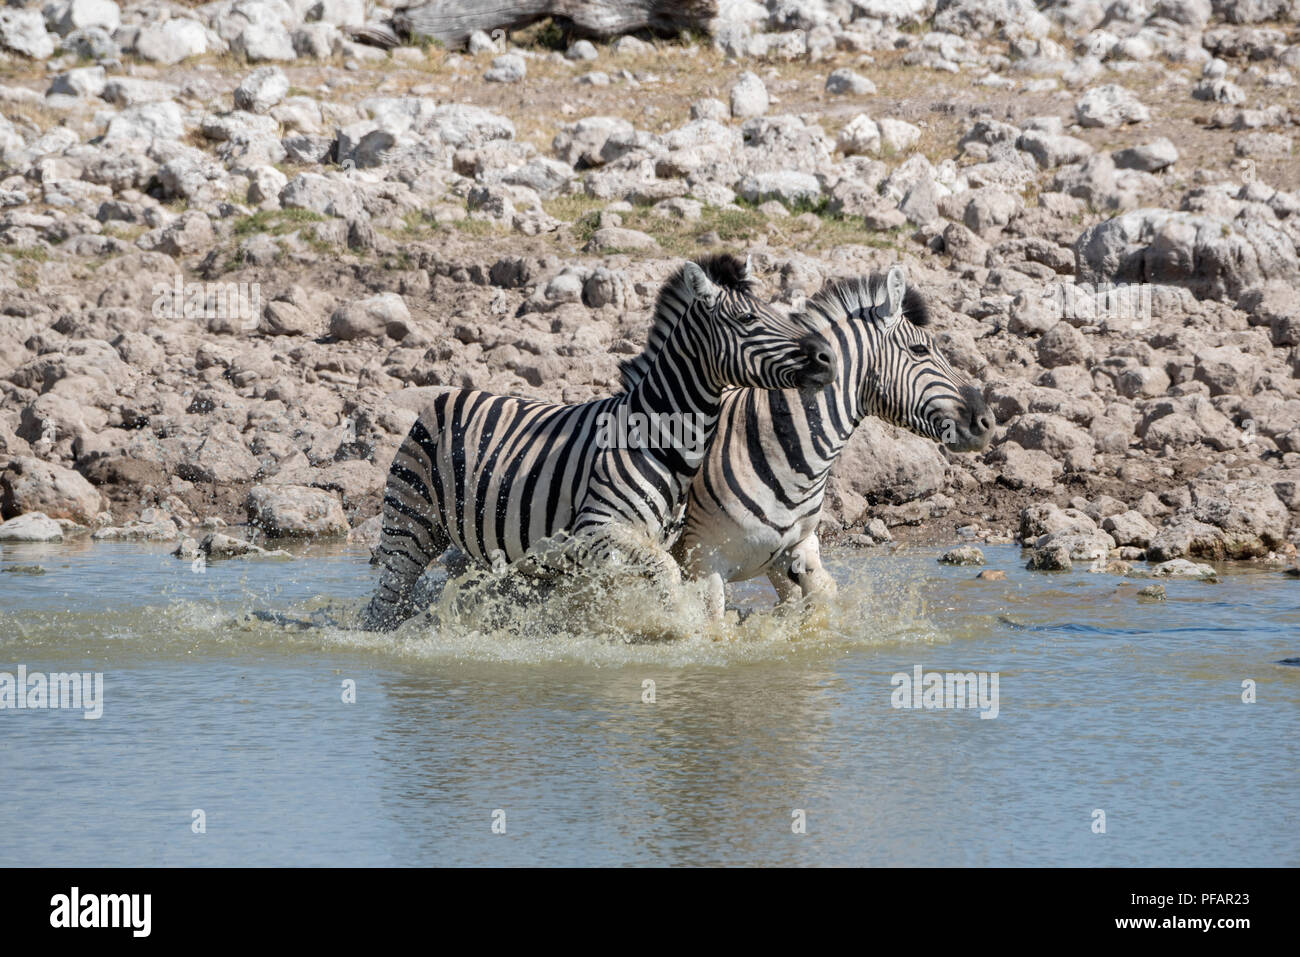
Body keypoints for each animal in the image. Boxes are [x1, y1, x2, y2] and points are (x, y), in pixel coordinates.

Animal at [359, 254, 837, 631]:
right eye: (748, 320)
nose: (826, 357)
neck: (656, 437)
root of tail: (449, 395)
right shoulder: (594, 531)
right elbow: (667, 575)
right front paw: (680, 624)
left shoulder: (636, 544)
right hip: (411, 523)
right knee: (386, 602)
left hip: (478, 540)